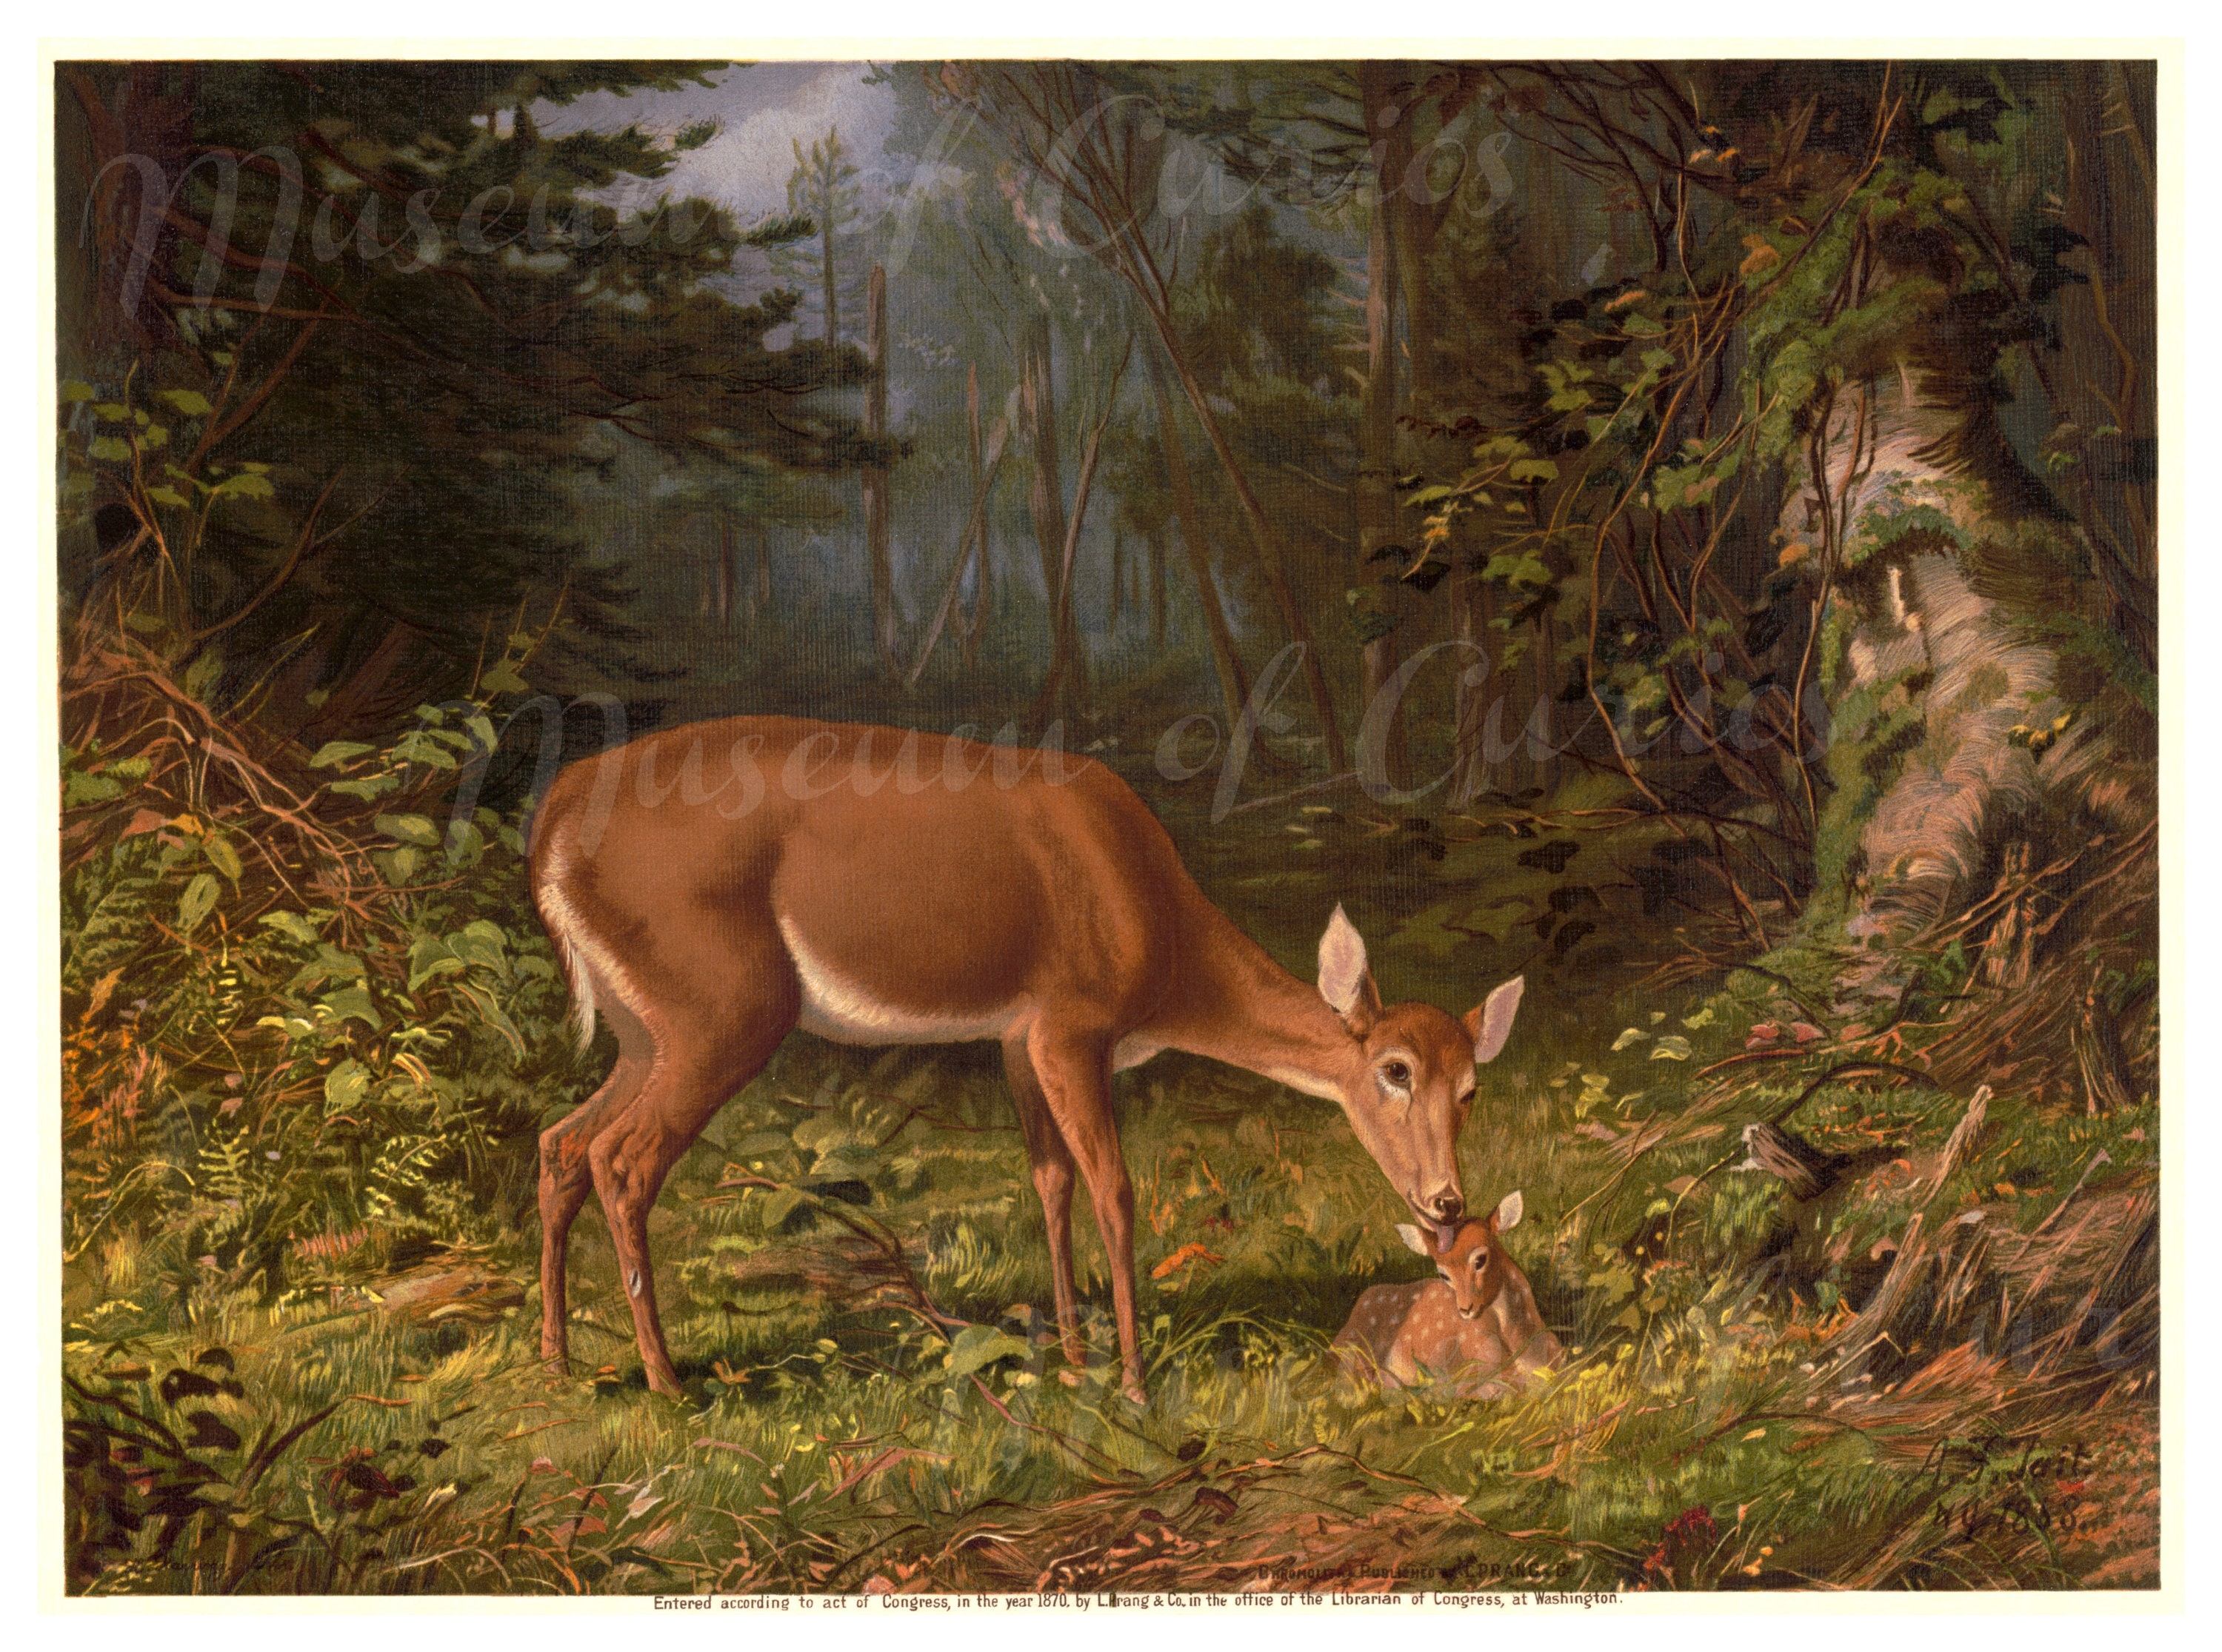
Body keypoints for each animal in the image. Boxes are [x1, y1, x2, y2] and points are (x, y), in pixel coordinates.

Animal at [528, 714, 1525, 1401]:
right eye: (1394, 1069)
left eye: (1473, 1087)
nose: (1447, 1199)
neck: (1164, 935)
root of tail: (554, 820)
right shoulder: (1071, 1022)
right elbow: (1115, 1189)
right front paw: (1133, 1380)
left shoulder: (1018, 1034)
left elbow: (1049, 1181)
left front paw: (1076, 1358)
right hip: (721, 1004)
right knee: (622, 1158)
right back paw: (666, 1378)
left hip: (642, 1023)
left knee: (561, 1143)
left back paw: (560, 1359)